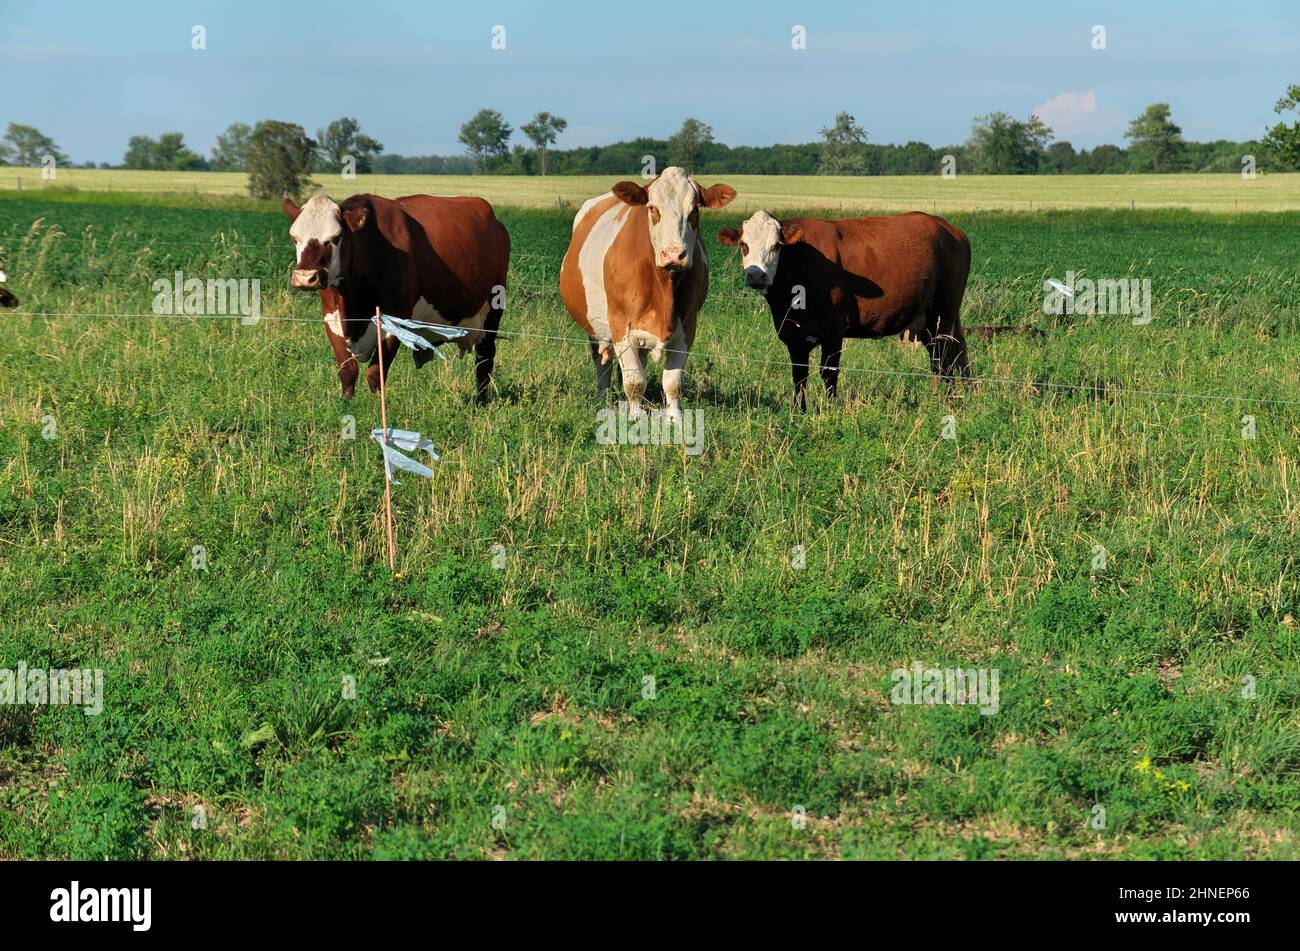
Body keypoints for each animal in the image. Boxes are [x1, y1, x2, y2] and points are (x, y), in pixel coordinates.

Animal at [283, 193, 510, 401]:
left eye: (336, 237)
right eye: (294, 238)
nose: (304, 277)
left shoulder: (394, 319)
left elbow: (375, 373)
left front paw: (373, 408)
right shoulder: (332, 319)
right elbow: (348, 372)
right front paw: (347, 405)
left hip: (493, 307)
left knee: (484, 359)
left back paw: (480, 403)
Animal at [559, 166, 736, 422]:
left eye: (694, 210)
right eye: (652, 208)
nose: (674, 255)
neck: (663, 286)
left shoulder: (688, 326)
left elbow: (673, 381)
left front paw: (674, 417)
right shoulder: (621, 325)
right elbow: (634, 381)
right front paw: (635, 417)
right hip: (594, 327)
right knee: (602, 364)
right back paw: (603, 398)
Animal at [718, 210, 972, 408]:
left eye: (776, 246)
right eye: (744, 245)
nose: (756, 275)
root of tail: (947, 227)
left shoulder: (833, 329)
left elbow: (828, 372)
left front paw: (830, 411)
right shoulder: (793, 333)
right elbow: (799, 375)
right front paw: (800, 411)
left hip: (942, 314)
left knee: (944, 359)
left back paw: (946, 400)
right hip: (931, 320)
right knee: (953, 354)